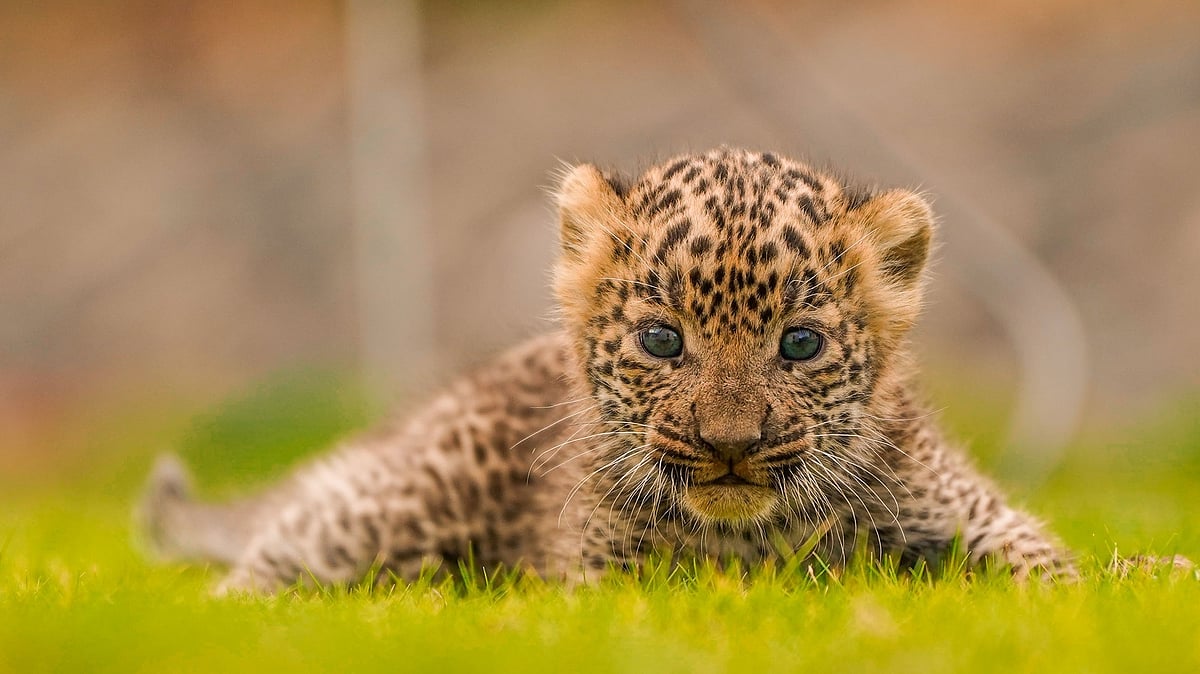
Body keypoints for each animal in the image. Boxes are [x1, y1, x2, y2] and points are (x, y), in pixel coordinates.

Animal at [139, 147, 1076, 594]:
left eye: (800, 346)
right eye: (661, 342)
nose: (730, 445)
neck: (750, 537)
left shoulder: (976, 516)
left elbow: (1059, 577)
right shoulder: (603, 573)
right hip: (402, 502)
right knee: (276, 556)